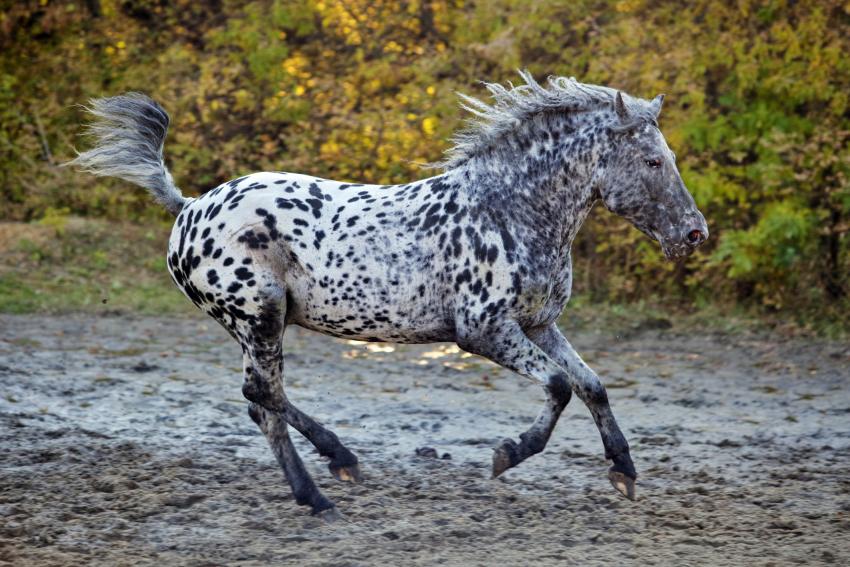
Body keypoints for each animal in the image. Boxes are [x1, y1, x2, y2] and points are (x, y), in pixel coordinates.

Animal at [68, 71, 708, 518]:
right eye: (653, 160)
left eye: (670, 157)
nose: (693, 233)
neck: (509, 210)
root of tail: (188, 208)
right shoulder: (484, 332)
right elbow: (558, 386)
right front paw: (507, 454)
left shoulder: (538, 324)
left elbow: (592, 384)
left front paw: (624, 472)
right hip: (259, 317)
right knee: (263, 395)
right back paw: (330, 478)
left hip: (253, 326)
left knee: (261, 402)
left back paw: (325, 482)